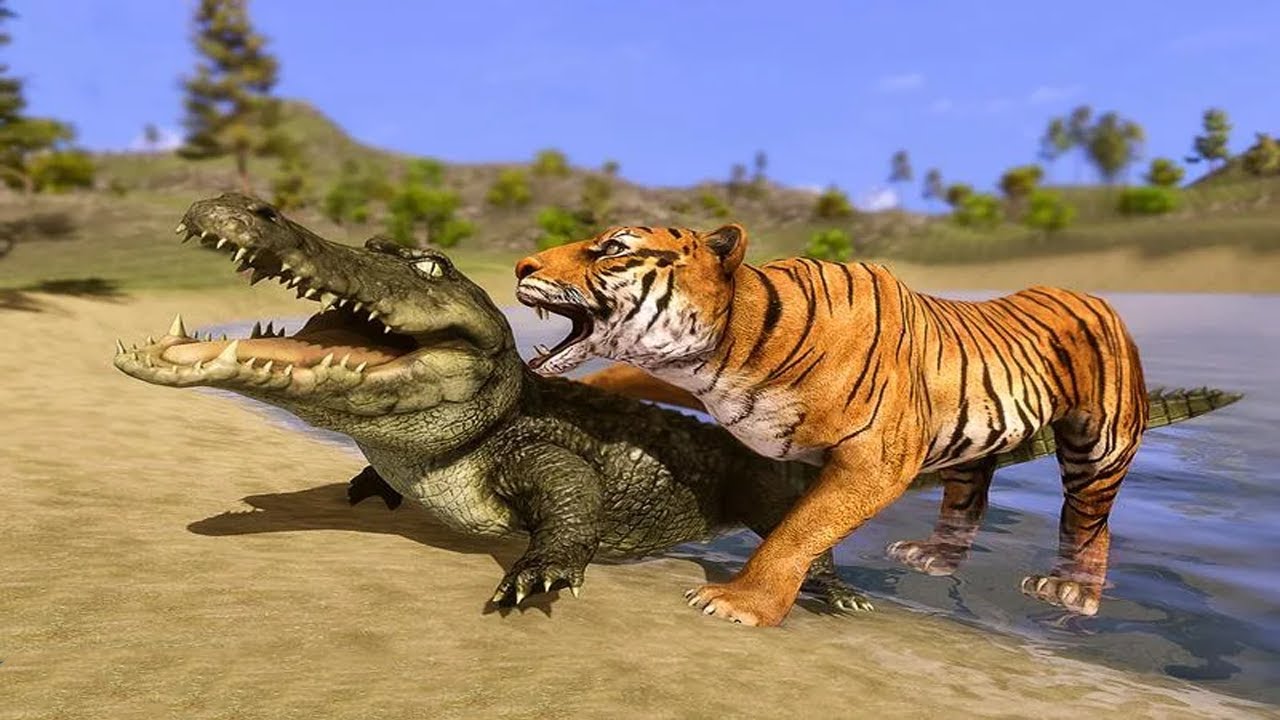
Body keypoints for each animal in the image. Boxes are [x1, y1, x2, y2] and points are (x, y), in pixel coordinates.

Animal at [513, 223, 1148, 627]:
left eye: (611, 250)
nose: (521, 266)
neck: (728, 348)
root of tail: (1098, 297)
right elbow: (617, 374)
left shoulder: (876, 461)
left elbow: (798, 531)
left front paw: (739, 604)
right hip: (973, 447)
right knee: (968, 498)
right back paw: (934, 558)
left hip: (1098, 445)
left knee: (1090, 521)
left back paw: (1071, 589)